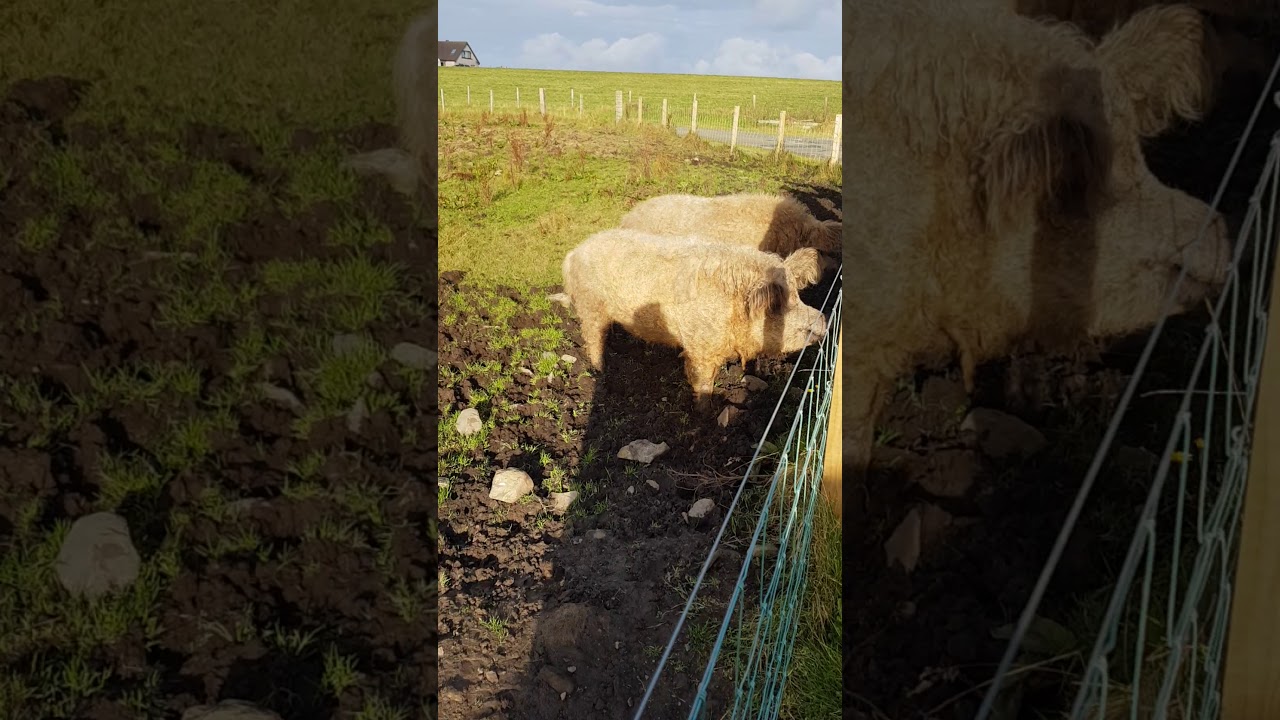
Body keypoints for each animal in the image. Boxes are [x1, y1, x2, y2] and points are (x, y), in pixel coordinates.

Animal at [561, 229, 829, 411]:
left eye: (798, 295)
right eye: (779, 306)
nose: (824, 320)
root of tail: (573, 253)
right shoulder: (701, 348)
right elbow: (703, 381)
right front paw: (704, 413)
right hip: (590, 306)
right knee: (592, 338)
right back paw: (600, 369)